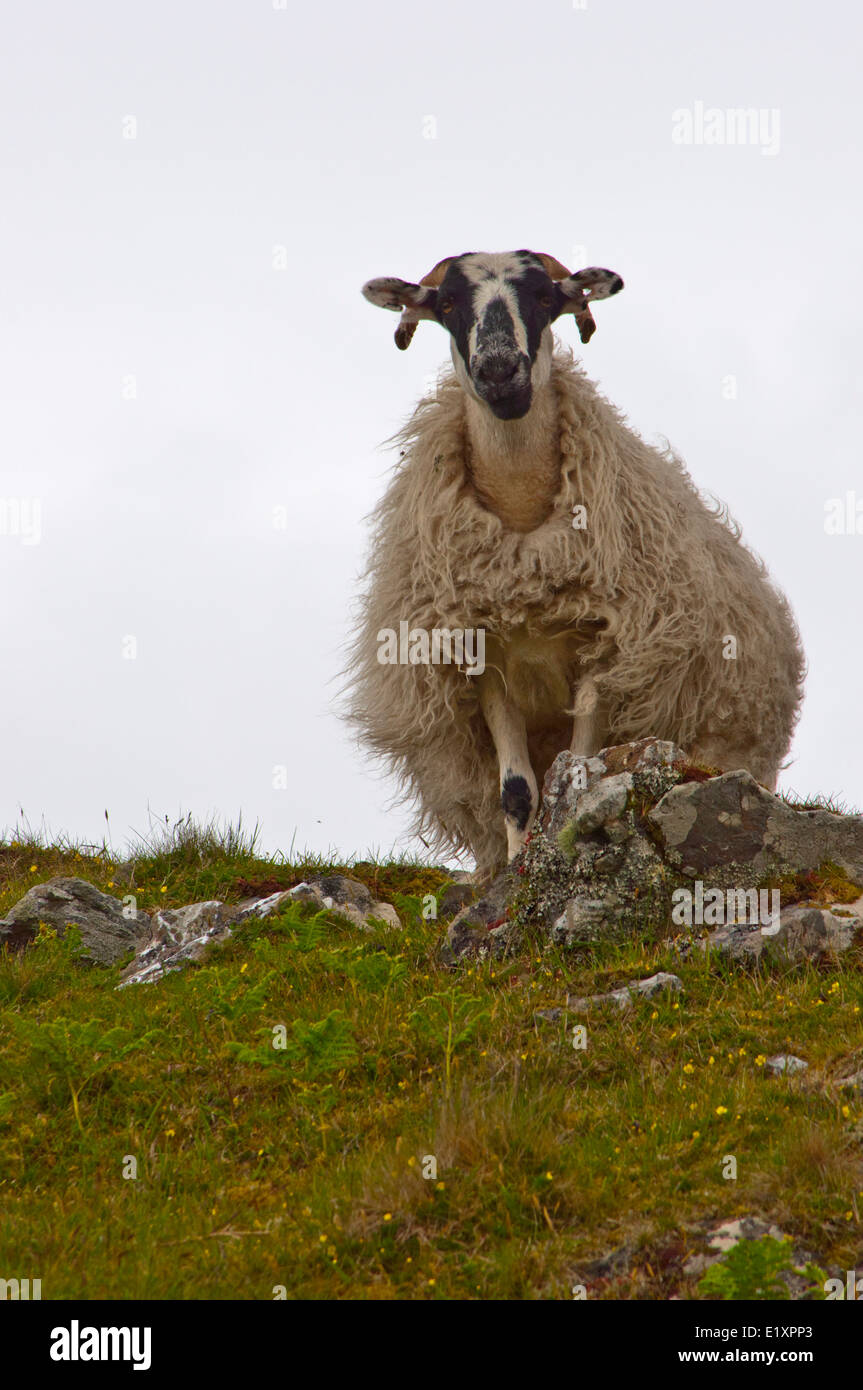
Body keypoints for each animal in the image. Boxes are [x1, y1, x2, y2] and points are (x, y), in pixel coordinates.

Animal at [346, 249, 805, 882]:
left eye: (545, 297)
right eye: (447, 304)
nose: (499, 372)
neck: (521, 514)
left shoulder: (608, 648)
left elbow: (583, 767)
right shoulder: (482, 656)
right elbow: (516, 791)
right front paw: (519, 870)